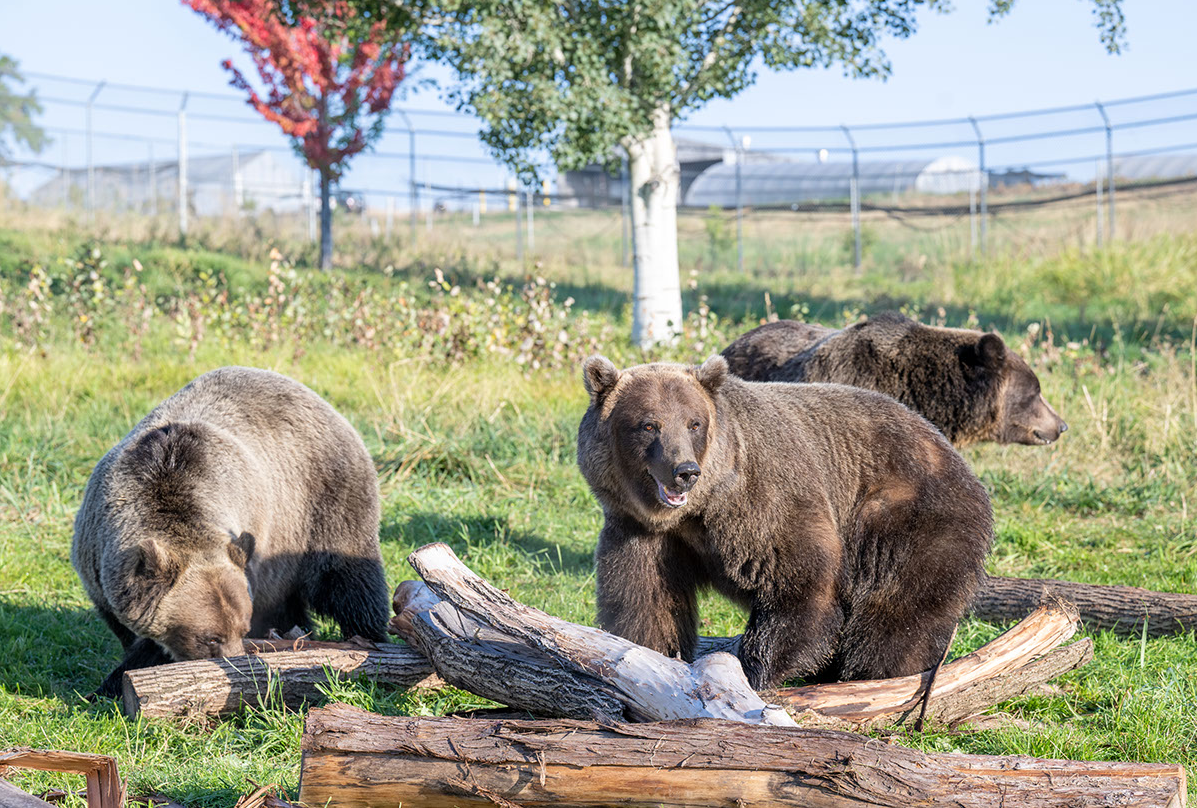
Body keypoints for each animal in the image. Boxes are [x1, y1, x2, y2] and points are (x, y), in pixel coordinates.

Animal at [72, 366, 390, 698]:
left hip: (320, 503)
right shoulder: (99, 560)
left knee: (348, 578)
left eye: (241, 628)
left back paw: (368, 637)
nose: (236, 662)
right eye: (211, 637)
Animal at [576, 354, 993, 689]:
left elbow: (798, 581)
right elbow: (646, 600)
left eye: (694, 423)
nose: (685, 471)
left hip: (905, 513)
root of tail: (956, 455)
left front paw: (754, 670)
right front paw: (653, 655)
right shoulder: (641, 531)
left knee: (897, 604)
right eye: (649, 424)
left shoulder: (764, 500)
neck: (697, 510)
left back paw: (870, 672)